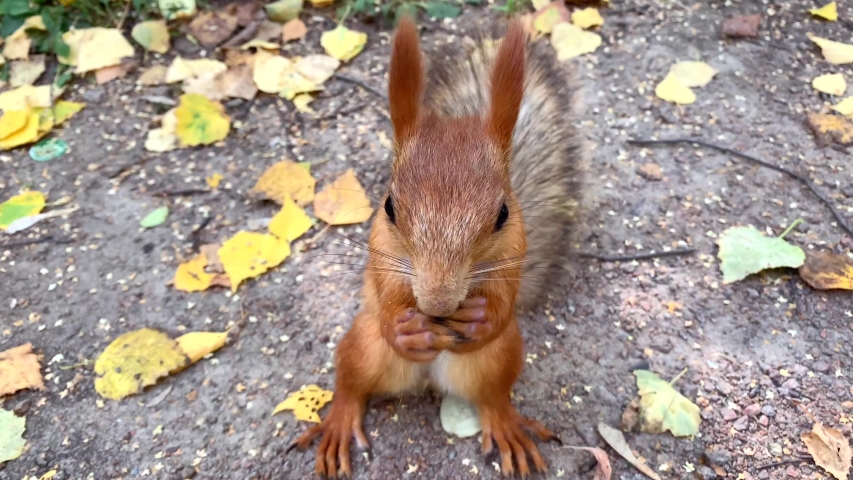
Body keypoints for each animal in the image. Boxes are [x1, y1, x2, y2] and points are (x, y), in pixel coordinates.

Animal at [291, 15, 584, 478]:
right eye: (389, 206)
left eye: (502, 213)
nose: (437, 304)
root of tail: (428, 377)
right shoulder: (380, 251)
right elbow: (387, 302)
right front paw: (404, 328)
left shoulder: (515, 251)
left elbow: (503, 304)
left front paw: (480, 317)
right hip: (364, 344)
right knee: (351, 383)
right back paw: (338, 421)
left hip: (499, 356)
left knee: (493, 396)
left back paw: (506, 424)